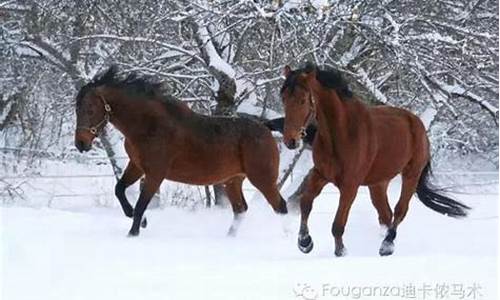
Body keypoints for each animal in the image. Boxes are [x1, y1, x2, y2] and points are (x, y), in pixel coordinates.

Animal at [72, 67, 288, 237]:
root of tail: (265, 127)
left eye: (90, 109)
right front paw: (137, 219)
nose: (80, 143)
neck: (149, 125)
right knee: (240, 210)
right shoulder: (136, 166)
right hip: (233, 180)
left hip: (262, 179)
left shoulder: (155, 174)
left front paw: (133, 233)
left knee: (280, 207)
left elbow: (141, 204)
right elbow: (119, 190)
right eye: (77, 109)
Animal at [282, 63, 468, 255]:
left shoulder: (349, 186)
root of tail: (418, 125)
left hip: (411, 175)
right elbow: (305, 202)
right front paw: (305, 242)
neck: (341, 134)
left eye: (303, 100)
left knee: (400, 210)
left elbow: (337, 225)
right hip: (378, 184)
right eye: (284, 99)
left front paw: (340, 251)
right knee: (386, 214)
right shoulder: (320, 175)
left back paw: (387, 244)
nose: (290, 141)